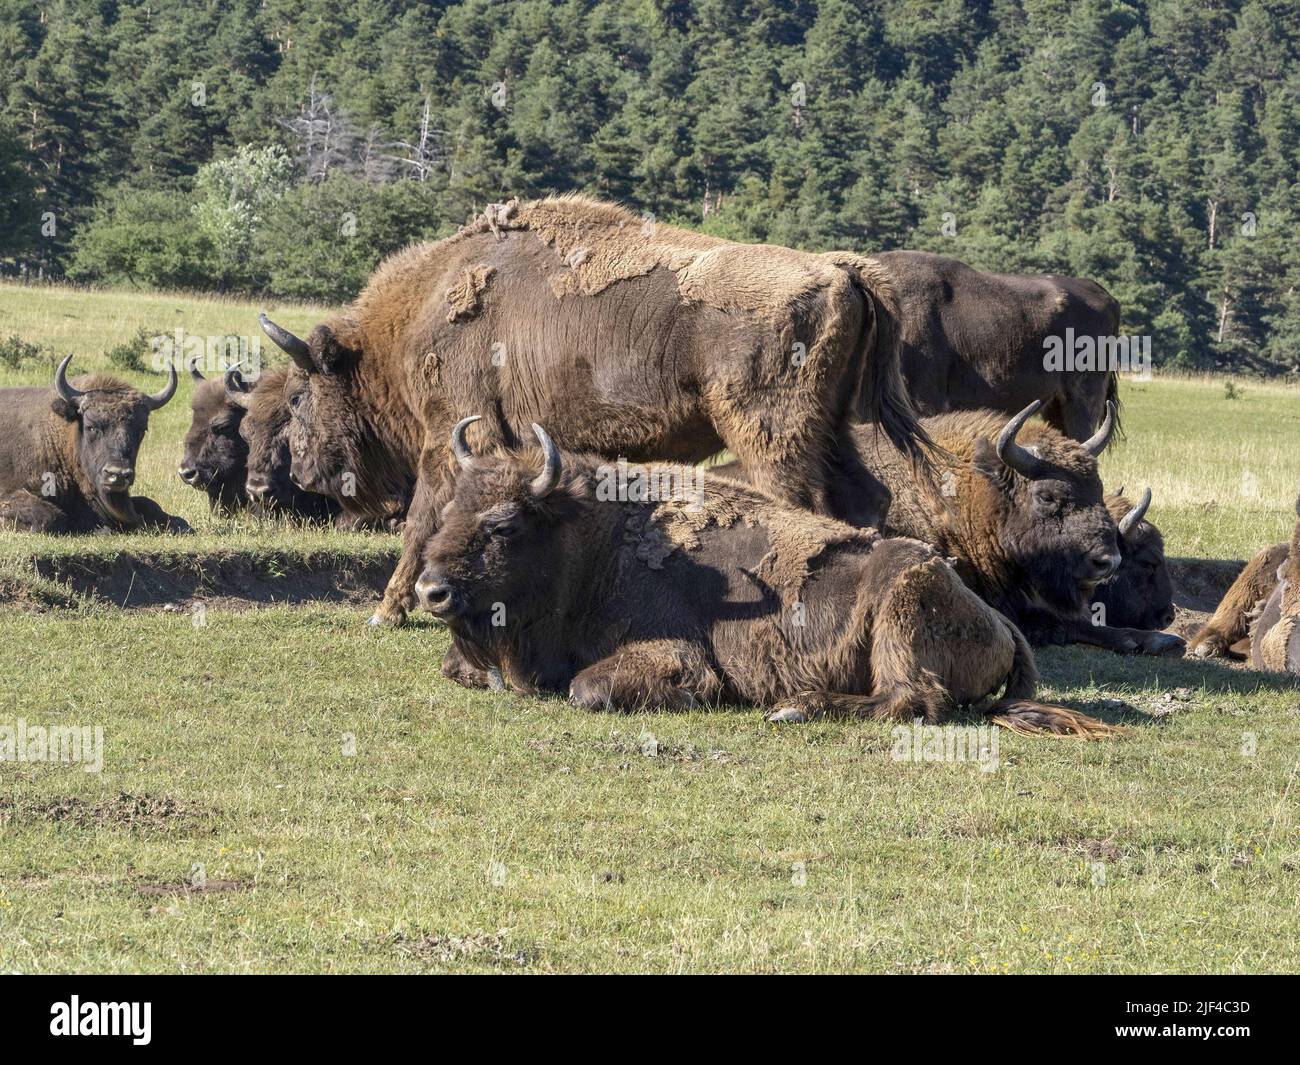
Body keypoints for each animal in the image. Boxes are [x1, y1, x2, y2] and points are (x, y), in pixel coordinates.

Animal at [259, 194, 929, 626]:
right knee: (864, 501)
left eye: (299, 395)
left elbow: (422, 522)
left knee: (804, 505)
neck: (416, 315)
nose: (302, 473)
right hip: (835, 429)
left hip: (769, 434)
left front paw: (386, 611)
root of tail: (838, 269)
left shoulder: (450, 436)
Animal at [414, 419, 1115, 737]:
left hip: (901, 604)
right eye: (447, 512)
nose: (430, 591)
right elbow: (462, 668)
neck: (591, 541)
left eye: (504, 524)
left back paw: (794, 708)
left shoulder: (672, 654)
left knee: (911, 699)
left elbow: (589, 688)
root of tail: (998, 621)